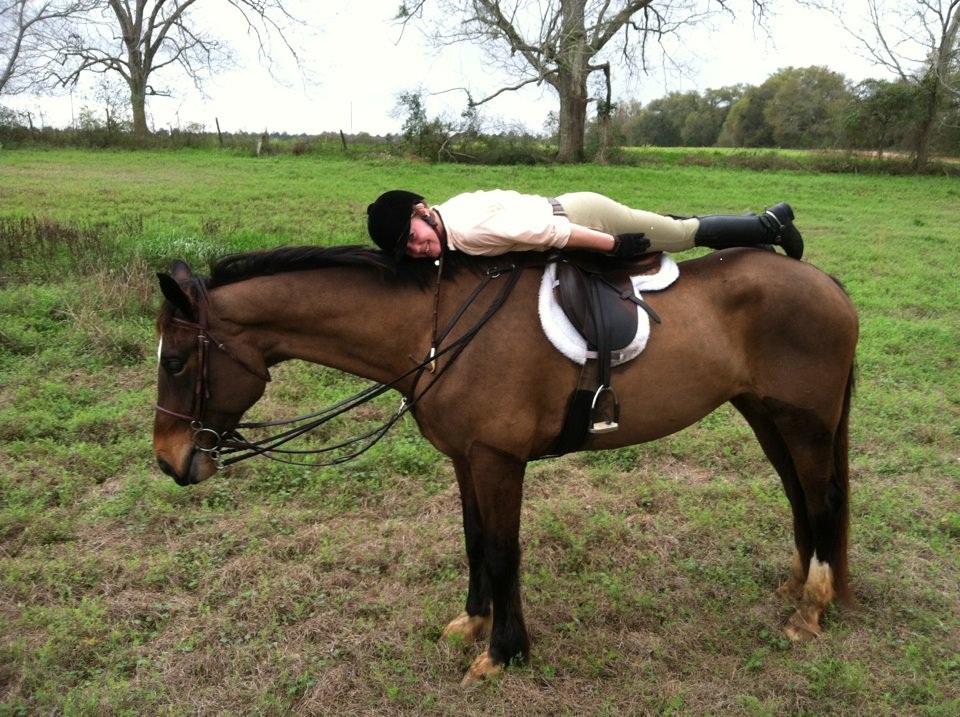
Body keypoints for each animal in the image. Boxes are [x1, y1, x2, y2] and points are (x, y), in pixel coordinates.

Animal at [153, 245, 858, 686]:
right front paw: (474, 622)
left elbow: (501, 550)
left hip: (803, 422)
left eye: (178, 361)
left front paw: (503, 652)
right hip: (765, 415)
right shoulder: (467, 458)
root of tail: (826, 282)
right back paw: (798, 587)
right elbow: (473, 541)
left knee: (821, 500)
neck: (436, 329)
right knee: (800, 497)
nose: (168, 461)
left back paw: (810, 610)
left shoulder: (498, 460)